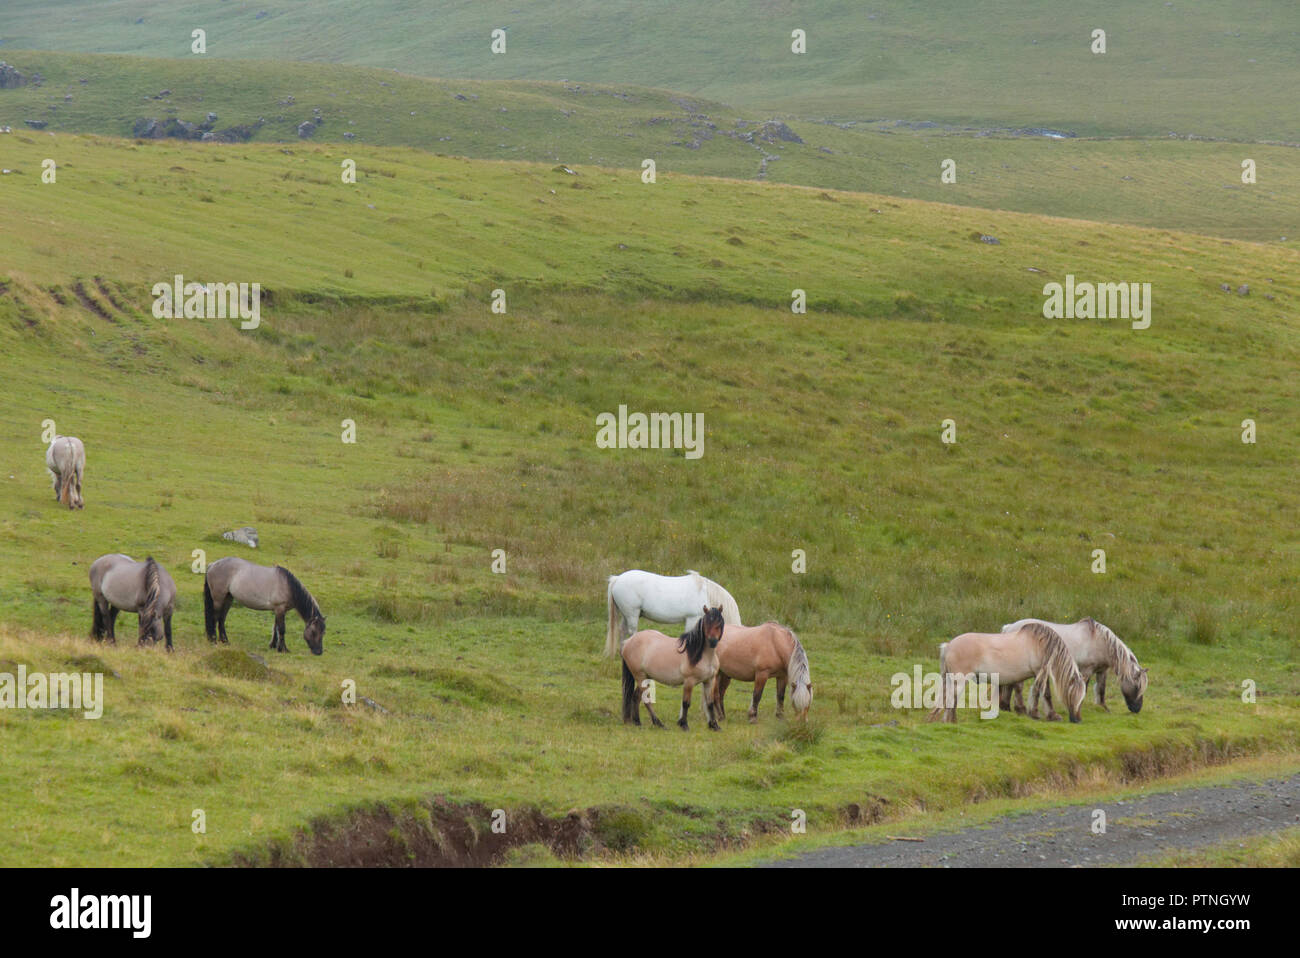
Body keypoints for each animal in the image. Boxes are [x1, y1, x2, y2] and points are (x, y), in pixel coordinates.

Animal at [605, 569, 741, 657]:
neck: (706, 594)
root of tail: (617, 579)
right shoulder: (692, 618)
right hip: (632, 614)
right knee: (631, 632)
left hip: (626, 614)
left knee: (622, 630)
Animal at [926, 621, 1085, 723]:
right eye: (1075, 694)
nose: (1077, 720)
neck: (1040, 644)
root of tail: (948, 646)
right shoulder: (1040, 672)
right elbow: (1043, 693)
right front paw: (1042, 715)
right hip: (959, 680)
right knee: (951, 699)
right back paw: (951, 721)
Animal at [999, 617, 1148, 714]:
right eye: (1137, 687)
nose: (1137, 709)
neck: (1099, 641)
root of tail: (1009, 627)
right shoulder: (1086, 671)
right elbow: (1085, 688)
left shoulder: (1102, 670)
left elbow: (1101, 689)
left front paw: (1103, 708)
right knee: (1016, 686)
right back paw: (1018, 708)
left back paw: (1006, 706)